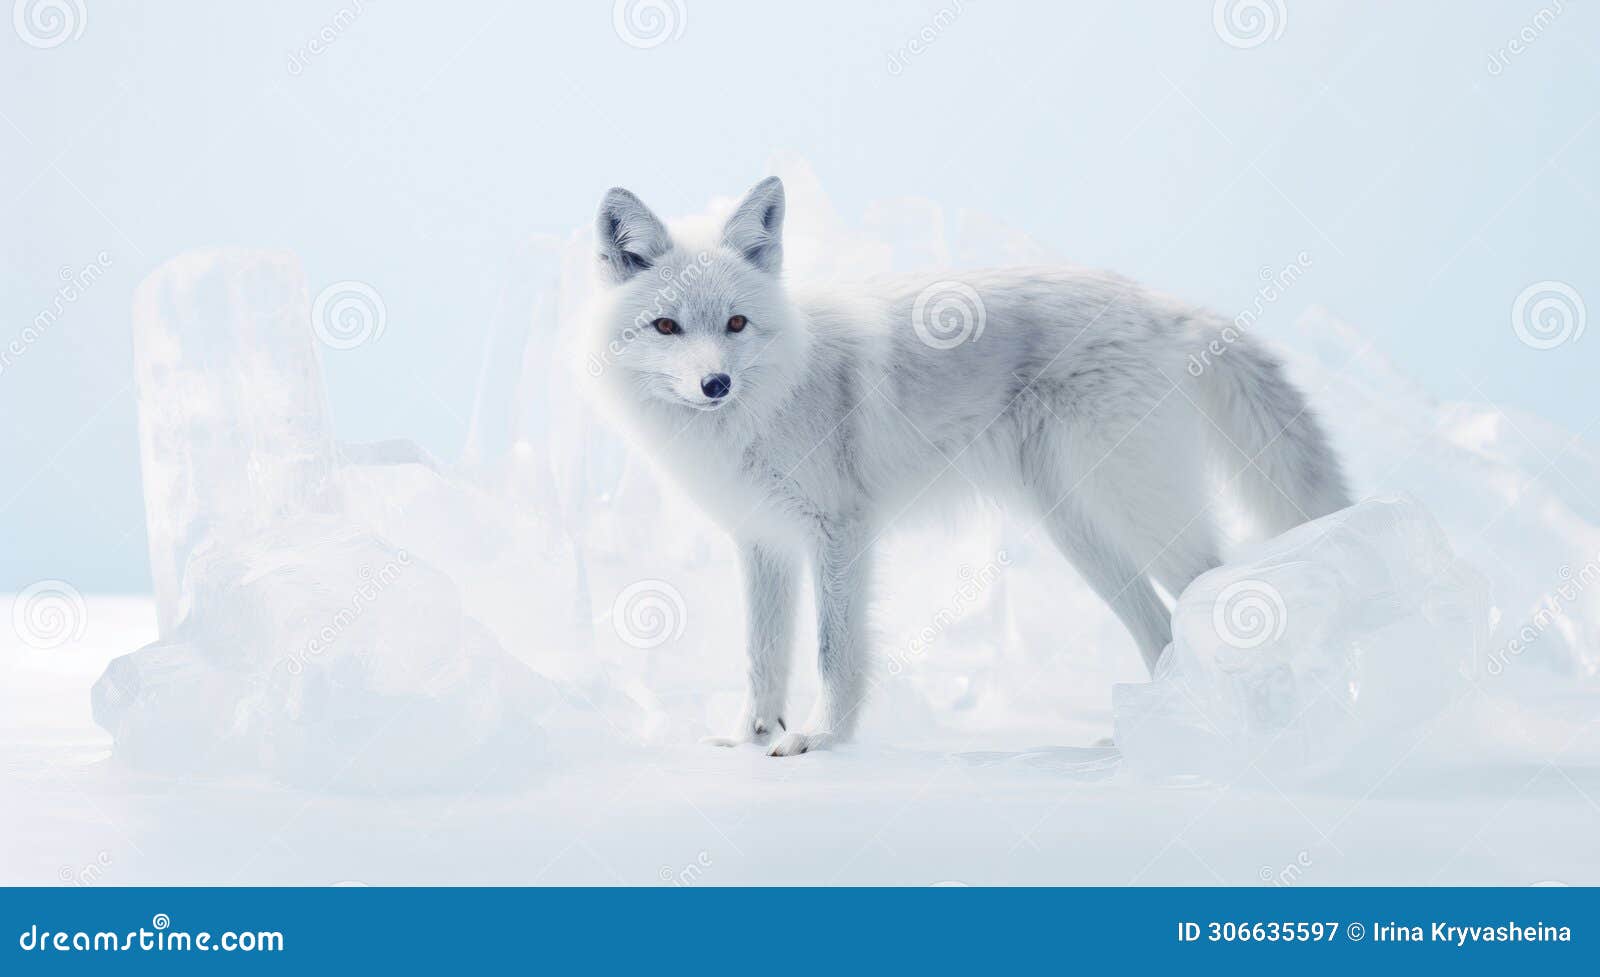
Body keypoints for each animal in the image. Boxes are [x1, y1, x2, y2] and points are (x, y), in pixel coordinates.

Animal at [584, 176, 1350, 757]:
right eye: (666, 327)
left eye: (736, 324)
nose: (715, 384)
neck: (774, 397)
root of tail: (1169, 308)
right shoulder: (764, 542)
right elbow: (761, 653)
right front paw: (750, 737)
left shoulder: (841, 533)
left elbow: (835, 650)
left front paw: (822, 739)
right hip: (1081, 532)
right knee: (1161, 627)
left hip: (1138, 513)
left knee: (1218, 593)